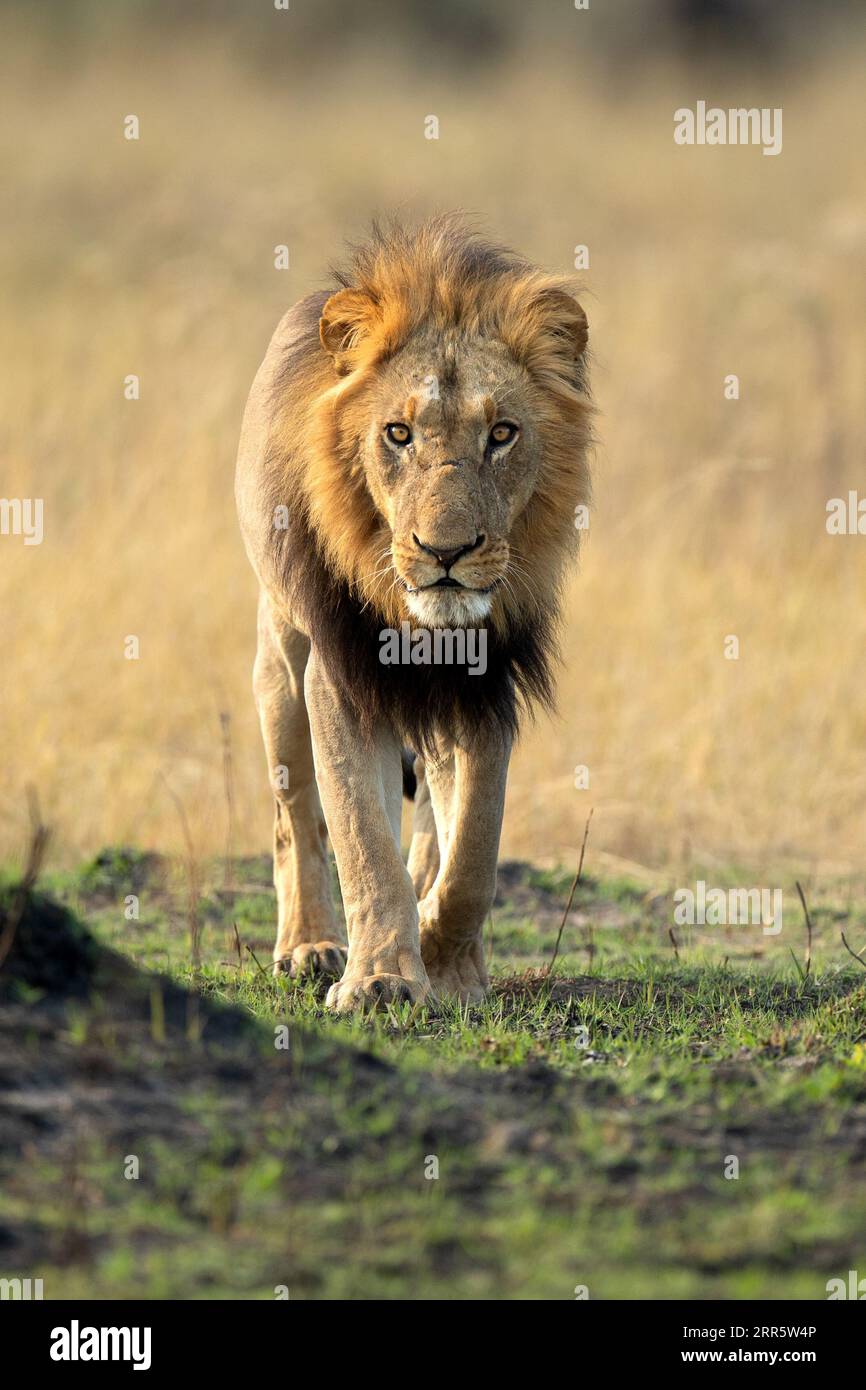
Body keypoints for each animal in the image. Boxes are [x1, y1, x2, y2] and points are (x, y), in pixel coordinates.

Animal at [235, 217, 591, 1012]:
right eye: (397, 434)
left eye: (502, 434)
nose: (446, 550)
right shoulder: (340, 676)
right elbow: (362, 839)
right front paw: (381, 979)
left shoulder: (484, 685)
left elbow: (475, 851)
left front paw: (444, 957)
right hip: (280, 660)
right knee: (294, 817)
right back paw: (309, 946)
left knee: (431, 812)